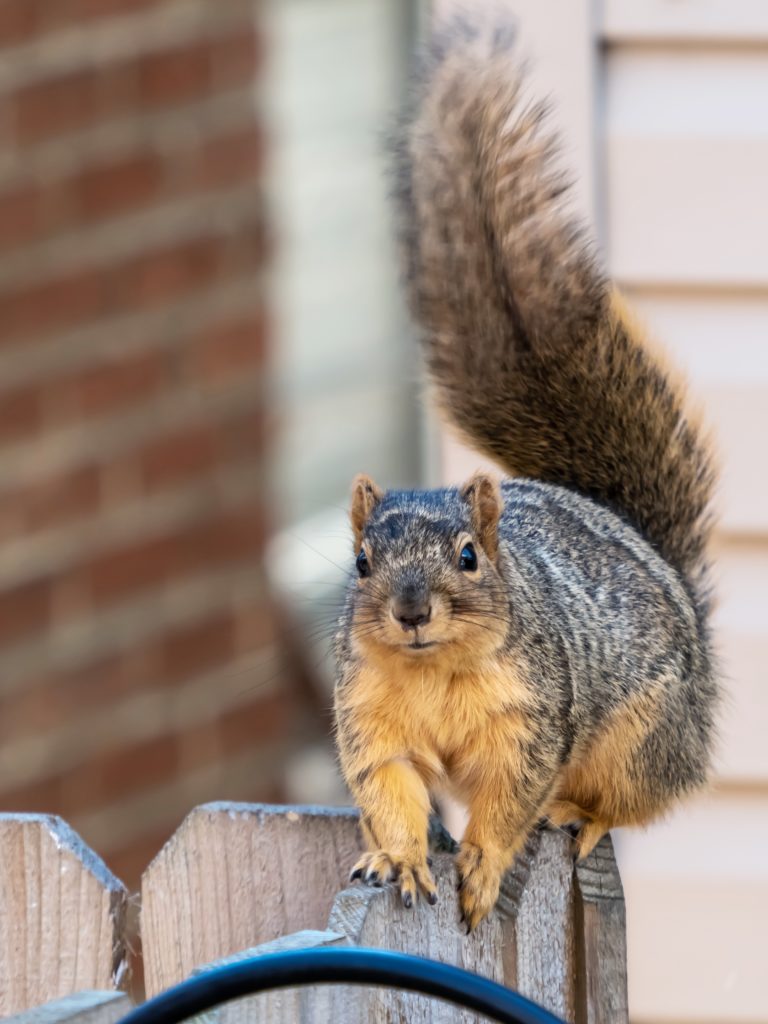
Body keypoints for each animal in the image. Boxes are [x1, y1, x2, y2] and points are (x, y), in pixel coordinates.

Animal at [333, 15, 720, 932]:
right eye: (361, 563)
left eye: (470, 556)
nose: (410, 611)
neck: (433, 669)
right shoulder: (370, 719)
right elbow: (390, 789)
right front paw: (398, 857)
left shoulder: (533, 717)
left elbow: (512, 796)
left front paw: (480, 865)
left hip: (642, 739)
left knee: (631, 797)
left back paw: (583, 813)